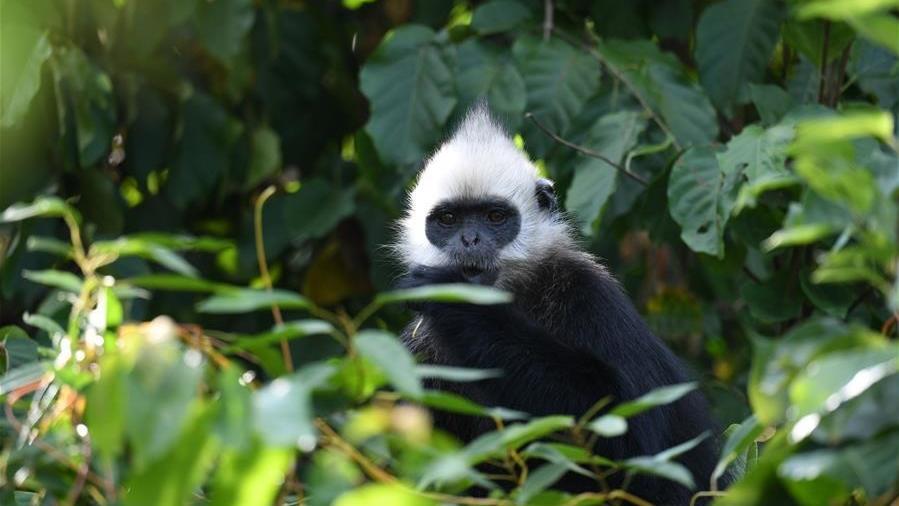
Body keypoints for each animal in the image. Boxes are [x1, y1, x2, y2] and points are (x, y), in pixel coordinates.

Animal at [392, 105, 722, 504]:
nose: (469, 239)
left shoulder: (589, 295)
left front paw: (460, 304)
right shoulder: (417, 351)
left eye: (494, 217)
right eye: (449, 219)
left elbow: (635, 446)